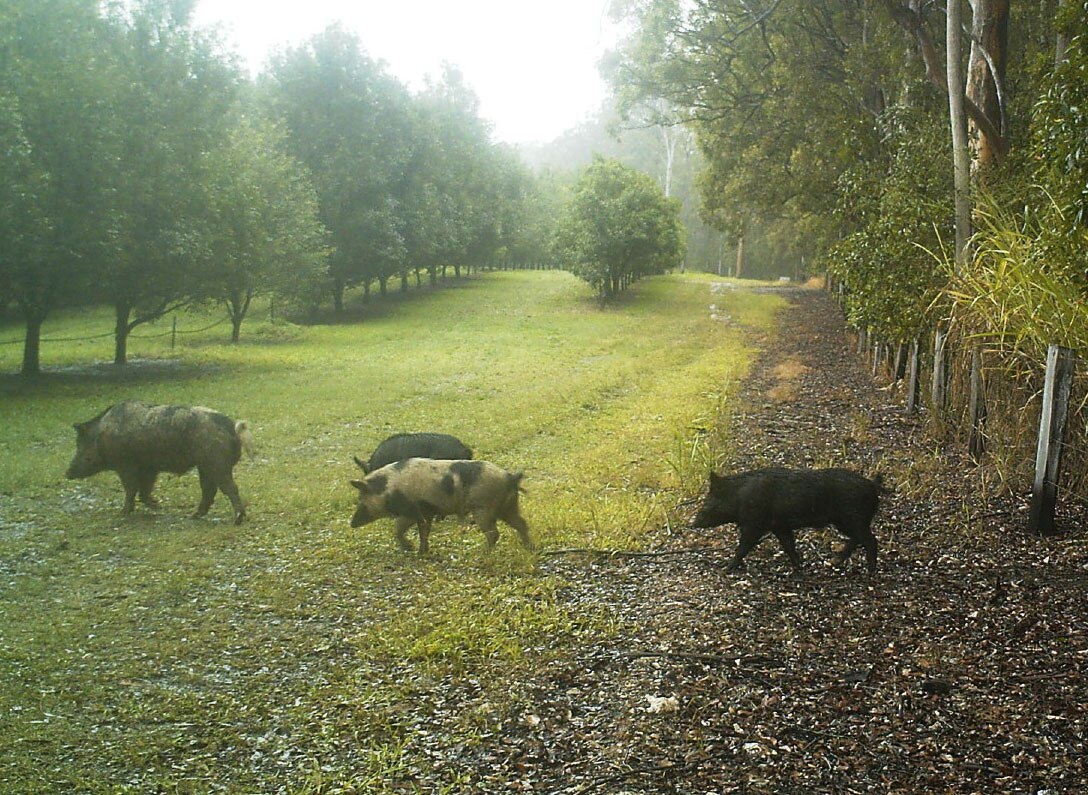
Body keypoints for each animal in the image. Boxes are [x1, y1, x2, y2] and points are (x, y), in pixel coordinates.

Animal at [65, 400, 254, 524]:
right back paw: (194, 515)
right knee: (209, 490)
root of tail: (233, 427)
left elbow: (130, 488)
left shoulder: (126, 465)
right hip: (205, 466)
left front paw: (123, 512)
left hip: (216, 463)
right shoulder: (149, 468)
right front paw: (157, 506)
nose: (67, 473)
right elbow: (144, 490)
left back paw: (238, 519)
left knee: (229, 488)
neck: (100, 435)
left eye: (80, 445)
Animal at [349, 458, 532, 555]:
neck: (386, 488)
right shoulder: (426, 512)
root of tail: (511, 478)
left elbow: (398, 529)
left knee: (494, 533)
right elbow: (424, 531)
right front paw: (421, 551)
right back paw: (529, 547)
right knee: (522, 524)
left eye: (360, 499)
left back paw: (482, 552)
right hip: (508, 506)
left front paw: (410, 548)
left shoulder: (410, 510)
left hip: (483, 509)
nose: (351, 523)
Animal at [692, 467, 882, 573]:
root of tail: (873, 486)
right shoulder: (780, 526)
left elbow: (743, 546)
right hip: (849, 521)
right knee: (858, 539)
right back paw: (835, 562)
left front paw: (725, 570)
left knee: (870, 540)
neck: (739, 497)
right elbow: (789, 545)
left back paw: (870, 571)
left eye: (708, 501)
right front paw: (800, 567)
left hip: (852, 518)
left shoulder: (755, 524)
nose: (692, 523)